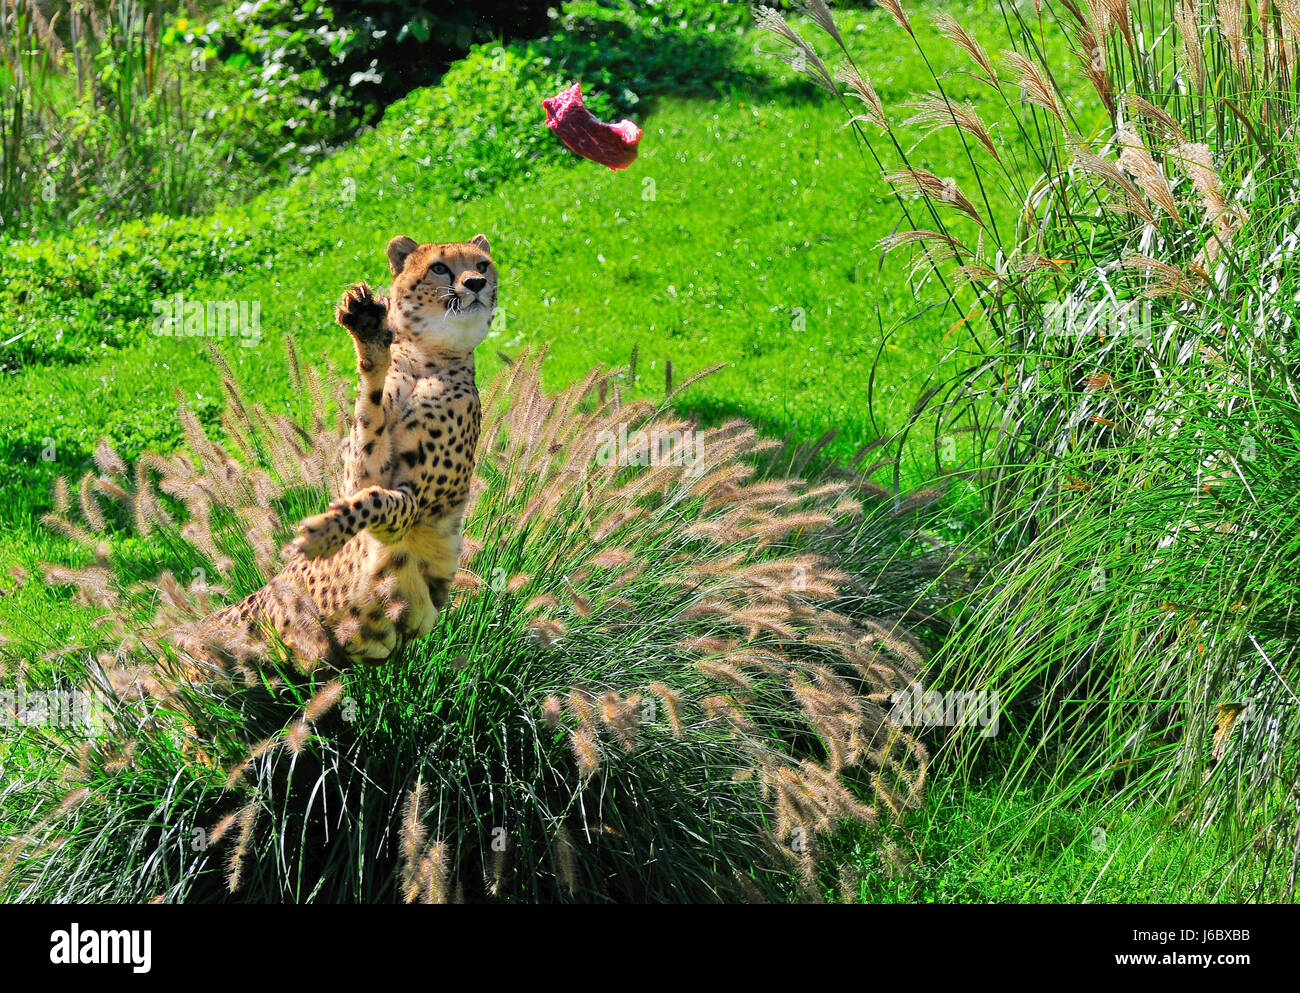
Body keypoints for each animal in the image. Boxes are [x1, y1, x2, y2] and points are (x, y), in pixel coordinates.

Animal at [191, 233, 496, 670]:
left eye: (483, 265)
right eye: (440, 267)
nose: (475, 283)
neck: (427, 362)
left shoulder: (416, 502)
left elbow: (377, 500)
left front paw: (323, 534)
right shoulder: (362, 473)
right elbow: (368, 423)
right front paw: (368, 329)